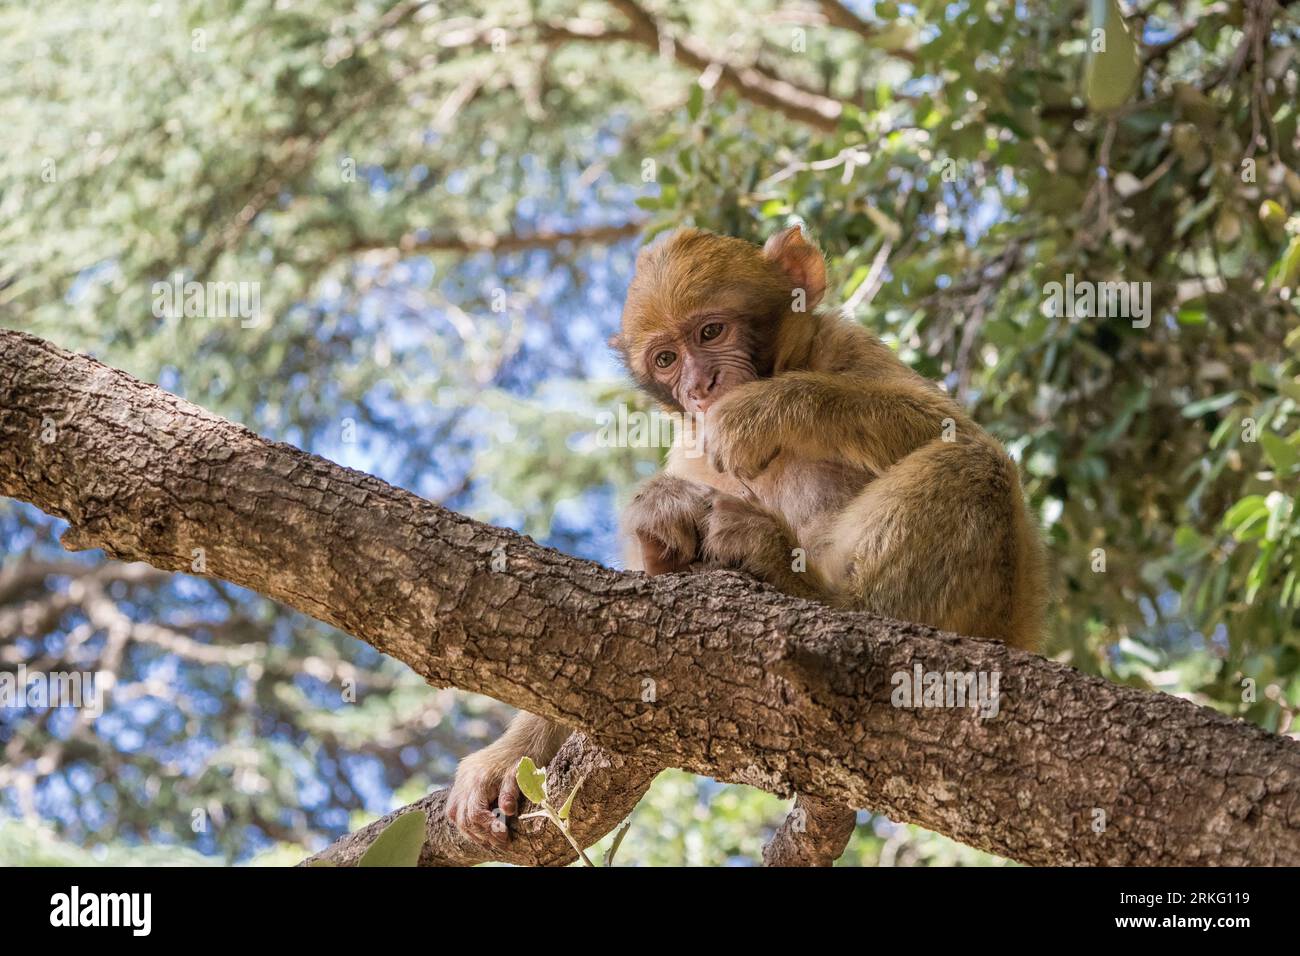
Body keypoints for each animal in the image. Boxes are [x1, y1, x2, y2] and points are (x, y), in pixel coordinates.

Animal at [445, 224, 1047, 858]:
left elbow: (951, 427)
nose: (699, 386)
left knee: (976, 462)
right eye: (666, 358)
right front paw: (512, 757)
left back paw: (814, 592)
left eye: (710, 332)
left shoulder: (846, 345)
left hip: (993, 611)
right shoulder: (689, 445)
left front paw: (762, 412)